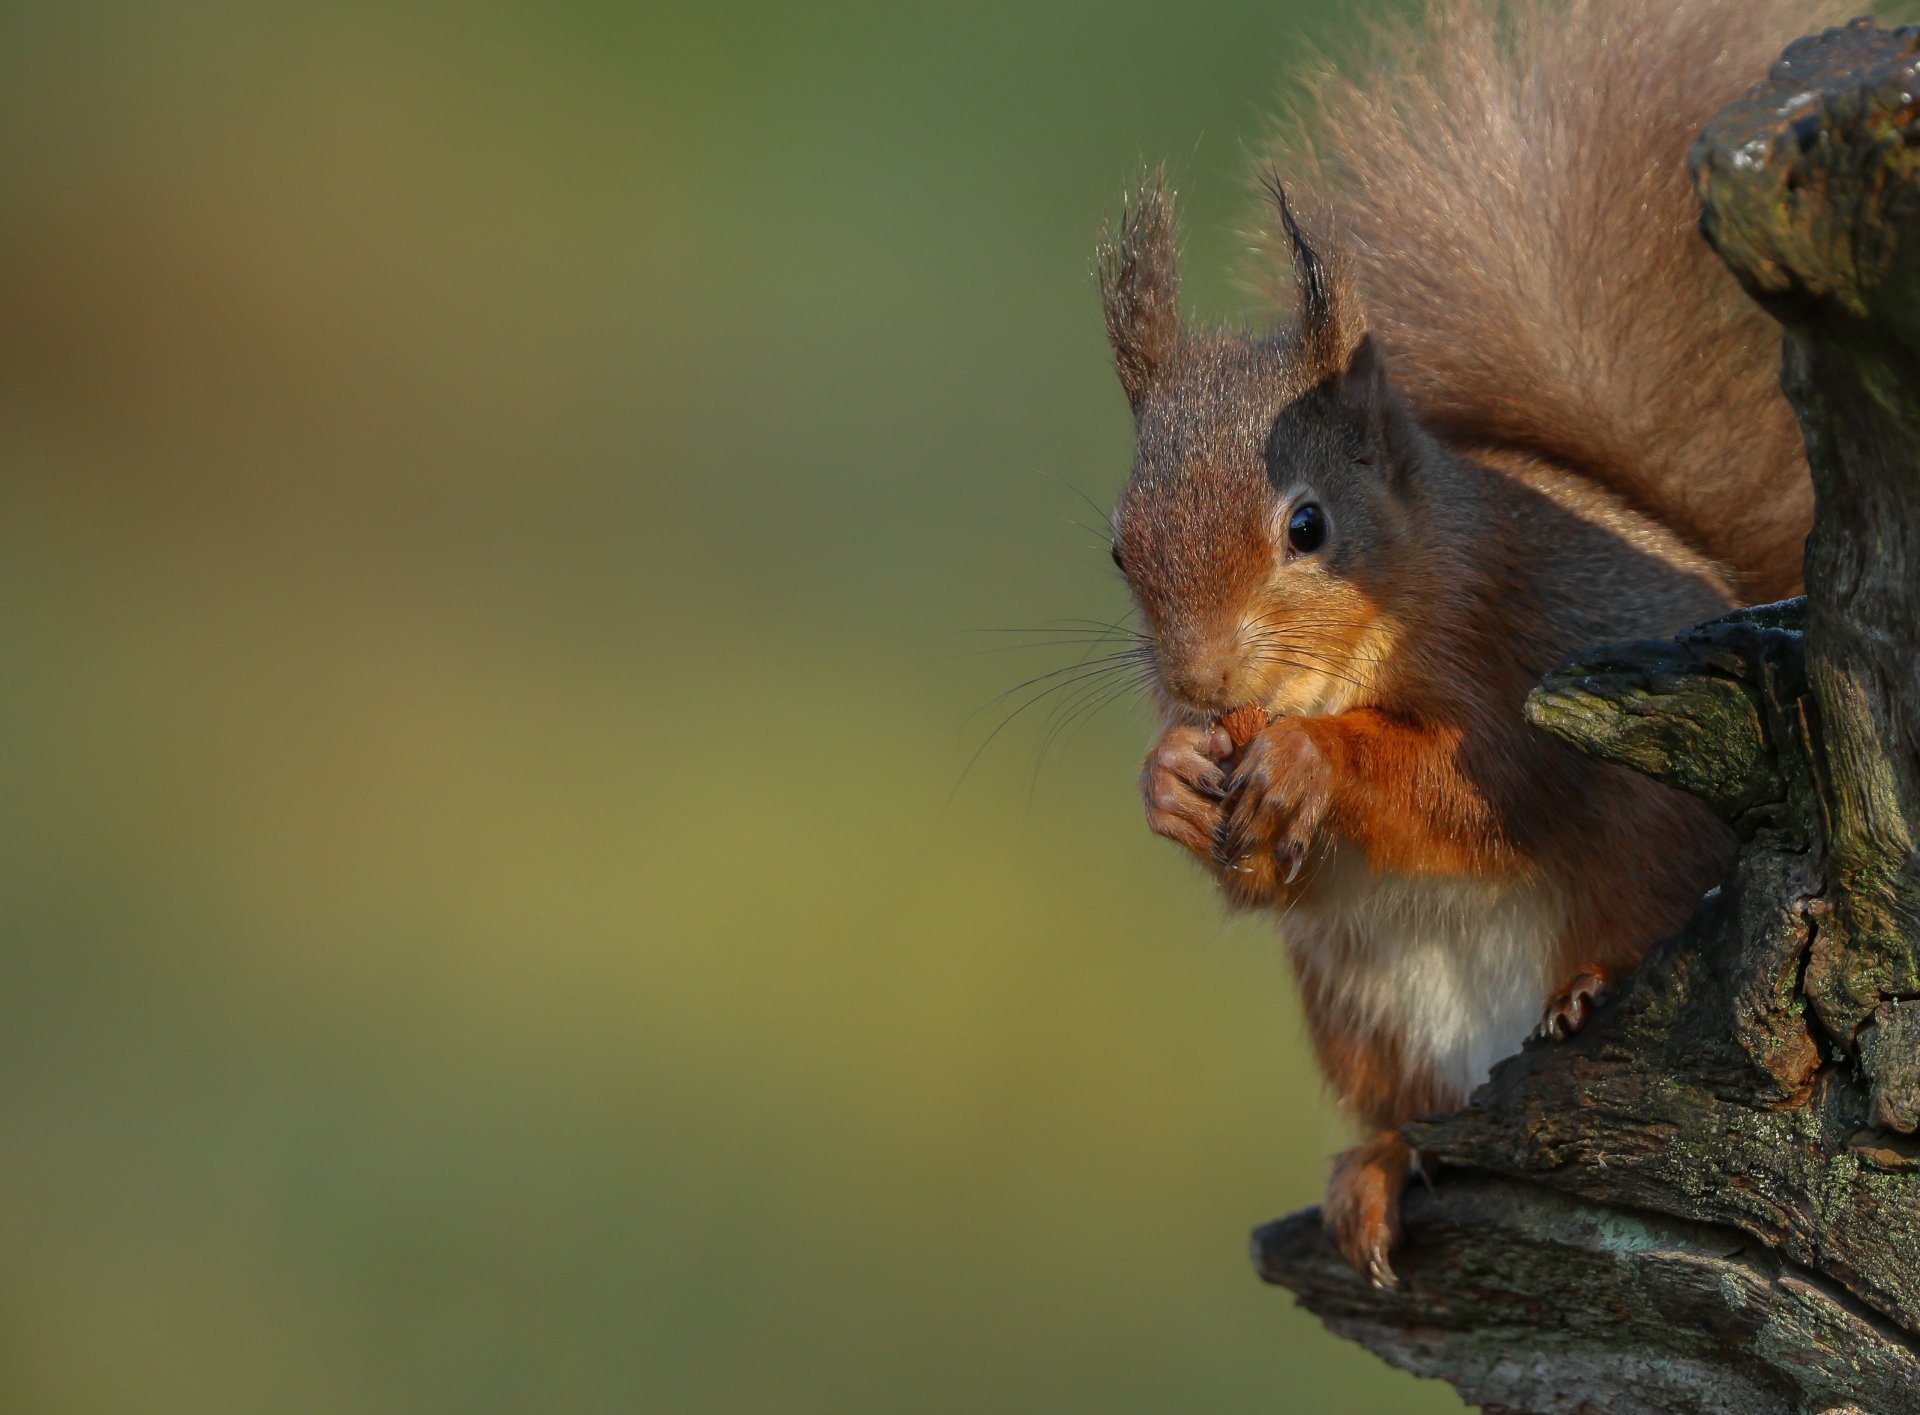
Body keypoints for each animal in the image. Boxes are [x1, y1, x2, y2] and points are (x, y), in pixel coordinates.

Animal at [1096, 0, 1835, 1286]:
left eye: (1307, 525)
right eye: (1117, 550)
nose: (1196, 682)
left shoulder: (1515, 651)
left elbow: (1480, 785)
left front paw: (1317, 759)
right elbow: (1275, 874)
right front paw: (1172, 779)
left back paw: (1586, 985)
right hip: (1366, 1020)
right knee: (1418, 1123)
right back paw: (1379, 1169)